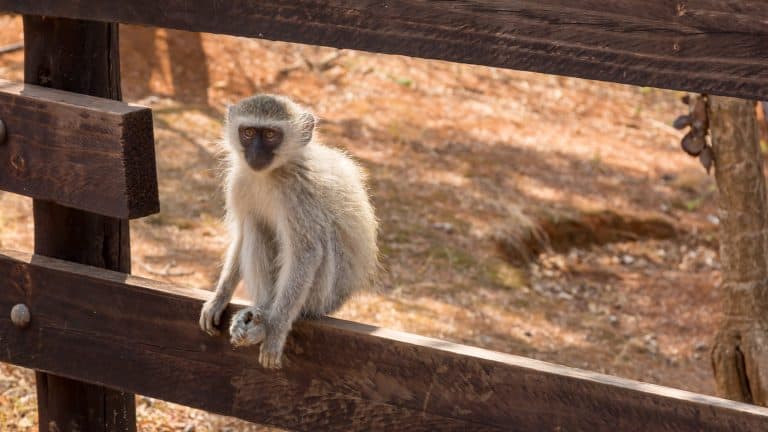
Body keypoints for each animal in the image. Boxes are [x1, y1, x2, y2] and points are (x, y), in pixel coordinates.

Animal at [199, 94, 378, 369]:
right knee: (254, 227)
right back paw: (259, 312)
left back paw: (264, 324)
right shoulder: (239, 182)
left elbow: (306, 253)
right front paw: (219, 297)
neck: (269, 174)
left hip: (320, 297)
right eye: (248, 132)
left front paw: (275, 330)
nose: (256, 153)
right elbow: (241, 236)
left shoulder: (298, 191)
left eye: (271, 134)